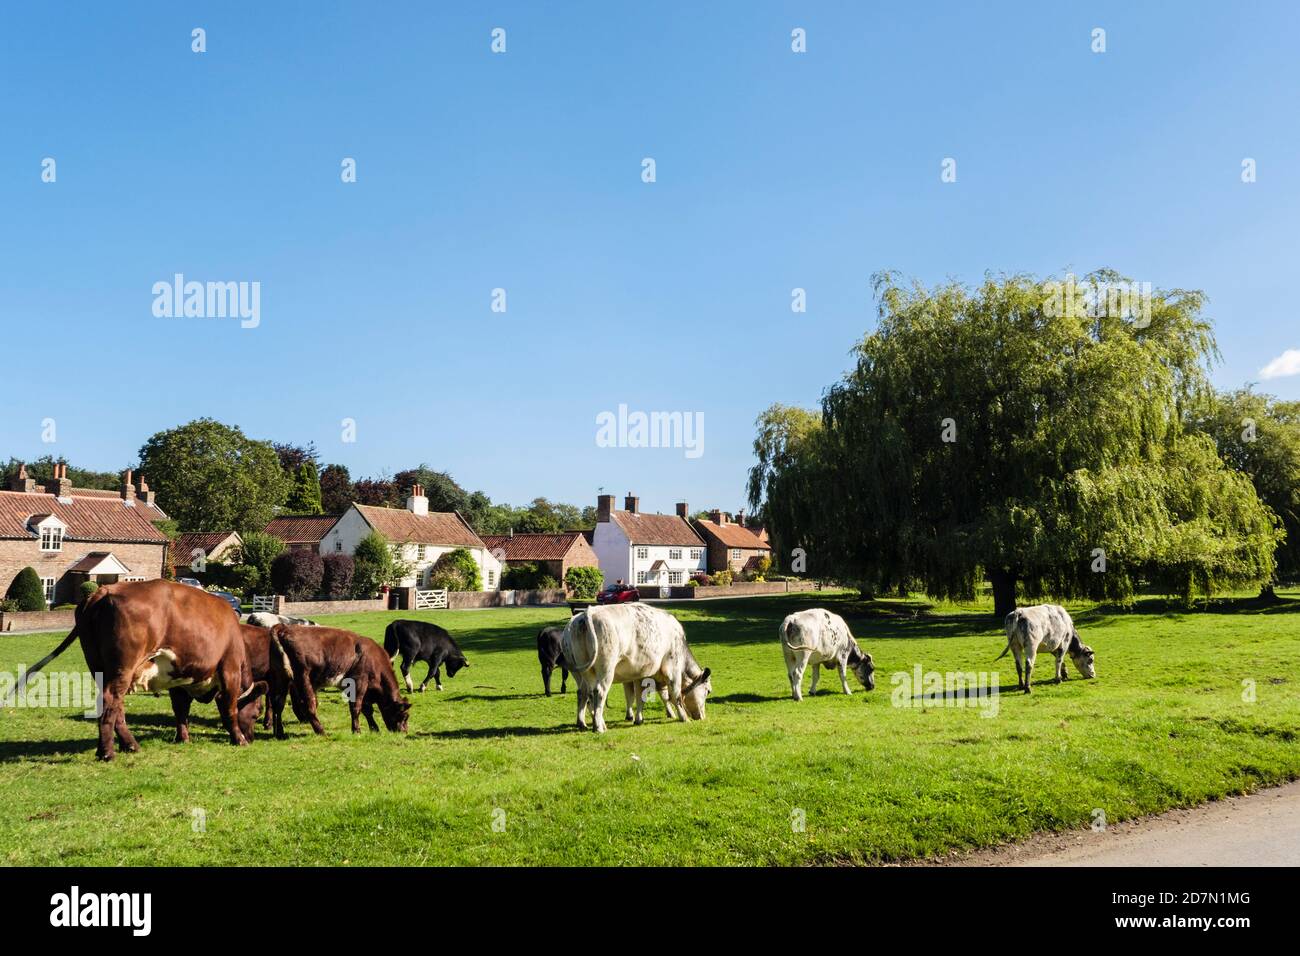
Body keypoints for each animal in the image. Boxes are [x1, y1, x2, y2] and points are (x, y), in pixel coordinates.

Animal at [6, 579, 266, 760]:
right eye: (256, 713)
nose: (253, 739)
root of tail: (103, 591)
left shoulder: (178, 678)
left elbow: (180, 711)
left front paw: (183, 738)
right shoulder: (230, 670)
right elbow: (228, 708)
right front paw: (238, 739)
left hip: (101, 668)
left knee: (114, 705)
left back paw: (129, 744)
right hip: (124, 666)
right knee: (111, 701)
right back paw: (107, 752)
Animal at [269, 625, 410, 735]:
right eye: (404, 716)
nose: (404, 731)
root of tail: (284, 628)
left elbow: (367, 709)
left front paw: (374, 728)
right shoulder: (359, 682)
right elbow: (356, 707)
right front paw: (357, 730)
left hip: (281, 679)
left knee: (278, 704)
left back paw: (279, 733)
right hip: (303, 678)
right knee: (309, 705)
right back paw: (321, 731)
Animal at [562, 604, 711, 733]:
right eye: (708, 691)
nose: (702, 717)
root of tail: (588, 612)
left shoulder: (640, 674)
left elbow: (639, 696)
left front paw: (638, 719)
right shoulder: (672, 669)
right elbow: (675, 694)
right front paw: (683, 717)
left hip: (585, 672)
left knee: (587, 693)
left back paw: (586, 723)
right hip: (606, 669)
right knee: (599, 692)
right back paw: (598, 727)